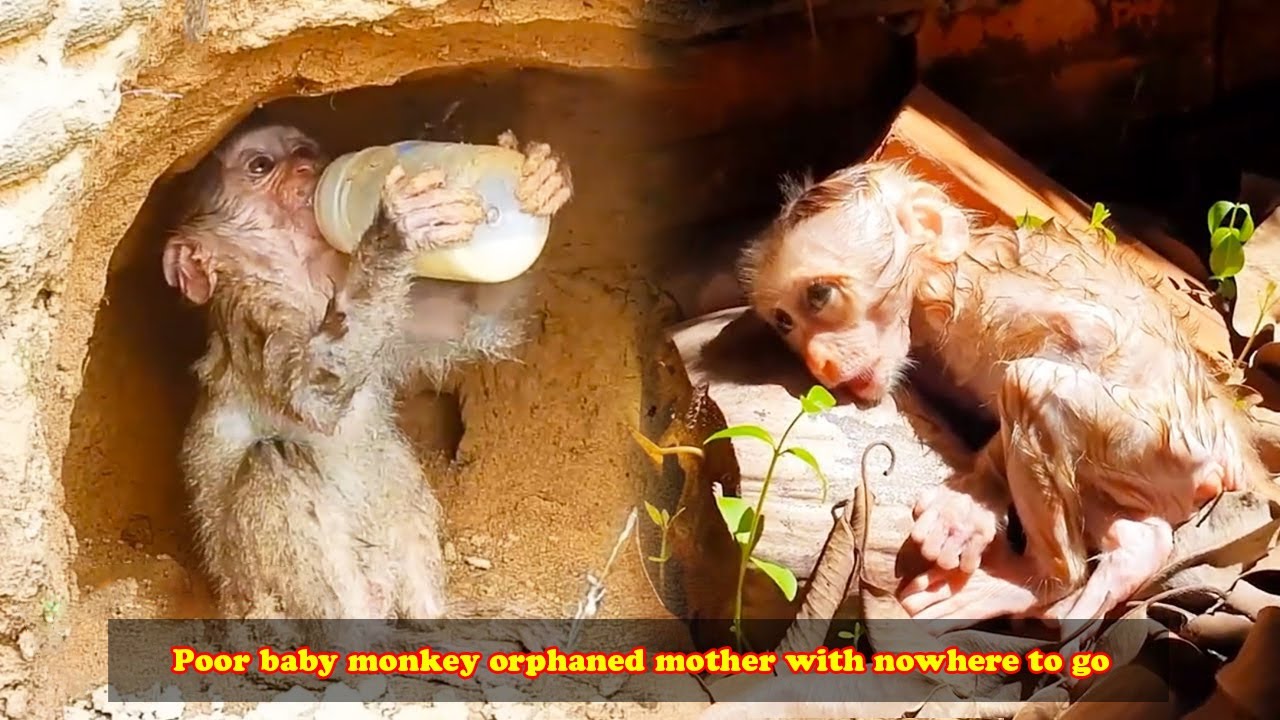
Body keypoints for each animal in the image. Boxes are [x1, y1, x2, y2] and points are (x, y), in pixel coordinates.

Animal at [162, 123, 573, 619]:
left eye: (303, 149)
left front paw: (540, 177)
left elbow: (479, 326)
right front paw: (397, 229)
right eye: (260, 165)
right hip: (256, 604)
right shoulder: (252, 317)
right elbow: (311, 394)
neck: (307, 283)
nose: (310, 167)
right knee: (273, 458)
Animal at [737, 159, 1270, 628]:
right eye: (784, 323)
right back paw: (1136, 549)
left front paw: (966, 507)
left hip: (1173, 450)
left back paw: (1043, 580)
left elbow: (1085, 341)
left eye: (819, 296)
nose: (818, 361)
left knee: (1031, 382)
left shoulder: (976, 295)